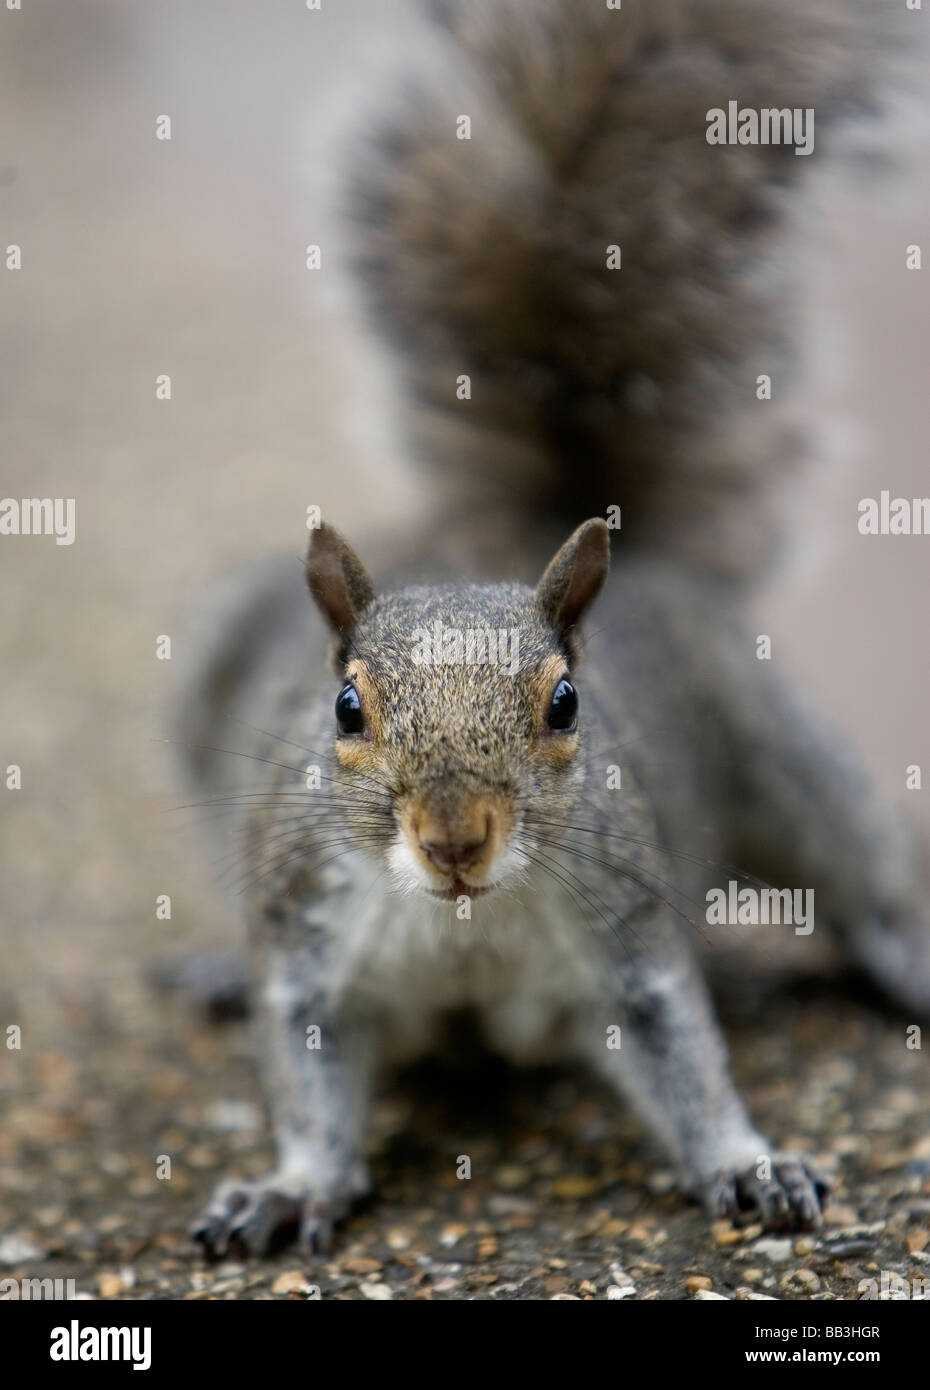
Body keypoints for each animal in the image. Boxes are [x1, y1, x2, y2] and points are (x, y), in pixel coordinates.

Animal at [176, 0, 930, 1257]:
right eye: (346, 706)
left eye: (568, 701)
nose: (455, 838)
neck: (463, 923)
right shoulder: (309, 939)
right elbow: (309, 1072)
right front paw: (288, 1185)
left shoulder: (626, 931)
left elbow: (681, 1051)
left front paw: (750, 1162)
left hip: (773, 748)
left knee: (858, 866)